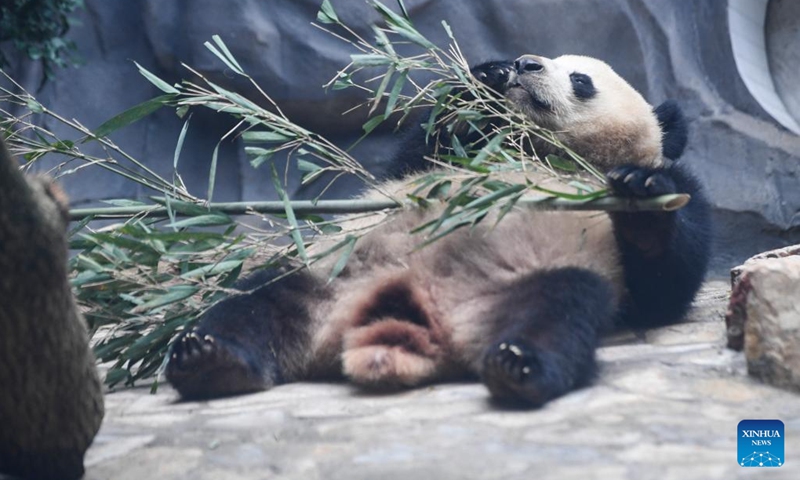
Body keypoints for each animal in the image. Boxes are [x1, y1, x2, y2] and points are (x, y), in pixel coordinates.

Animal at [165, 54, 712, 406]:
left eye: (581, 78)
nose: (526, 65)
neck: (537, 150)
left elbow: (665, 282)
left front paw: (640, 192)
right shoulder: (434, 163)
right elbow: (424, 146)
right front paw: (487, 77)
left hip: (520, 282)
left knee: (562, 307)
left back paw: (519, 366)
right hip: (331, 274)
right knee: (258, 301)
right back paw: (209, 359)